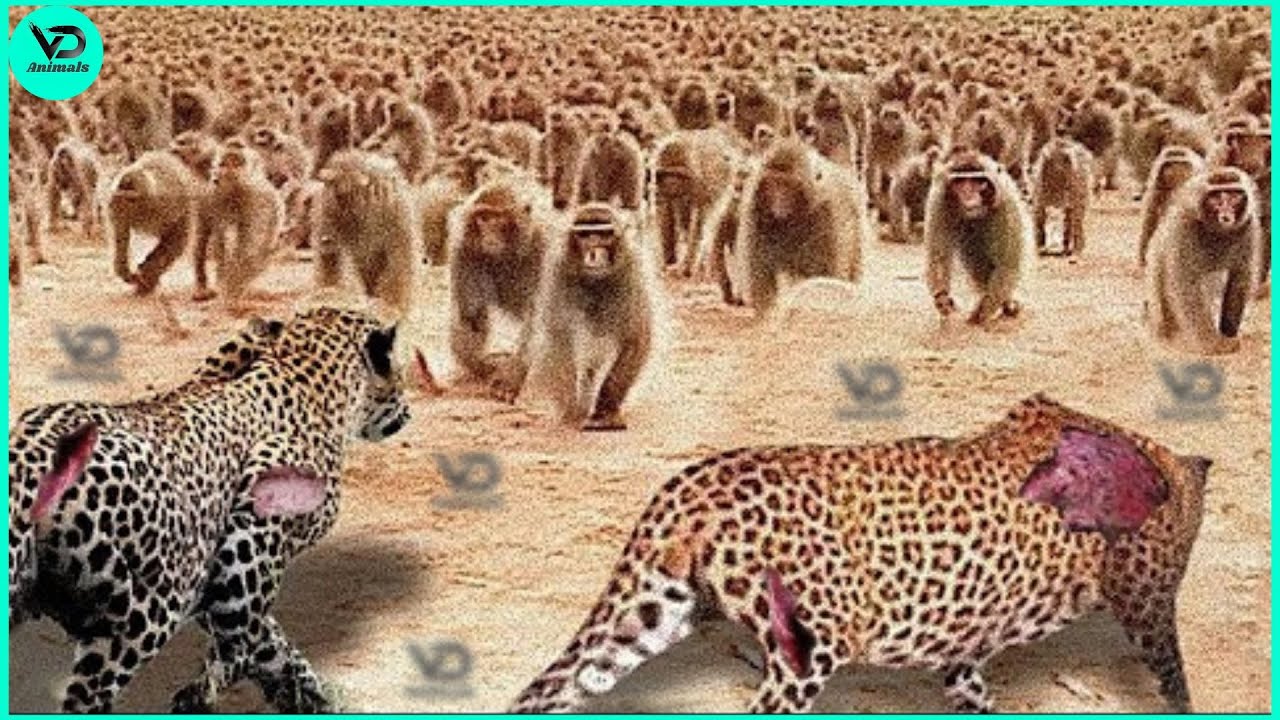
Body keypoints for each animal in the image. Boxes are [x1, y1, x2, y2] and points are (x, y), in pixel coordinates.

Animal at [8, 306, 410, 713]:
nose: (407, 411)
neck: (303, 375)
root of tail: (29, 454)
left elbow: (271, 645)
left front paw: (308, 695)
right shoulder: (248, 546)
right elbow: (245, 637)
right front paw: (203, 693)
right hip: (145, 613)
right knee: (88, 694)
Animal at [510, 393, 1211, 713]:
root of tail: (693, 485)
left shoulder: (962, 659)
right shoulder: (1150, 607)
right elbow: (1176, 682)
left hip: (647, 615)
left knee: (564, 685)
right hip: (805, 649)